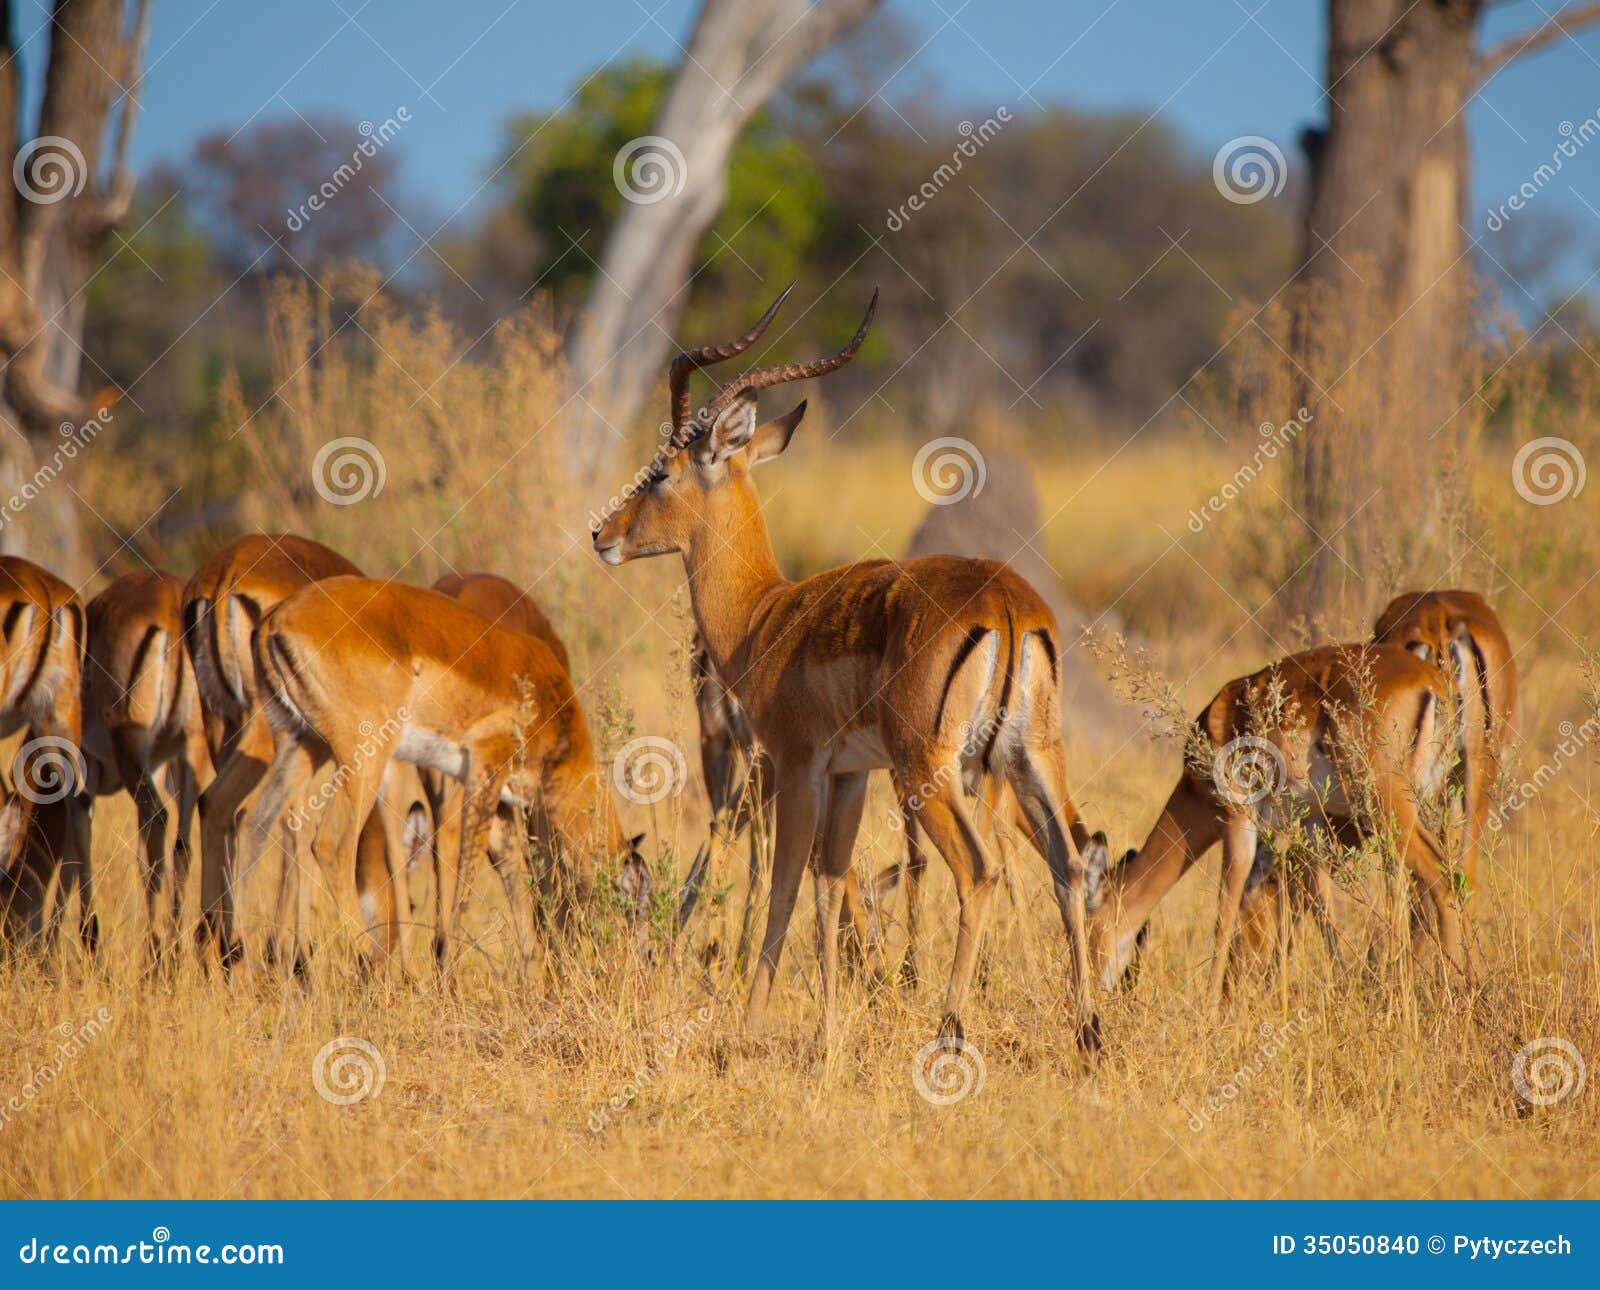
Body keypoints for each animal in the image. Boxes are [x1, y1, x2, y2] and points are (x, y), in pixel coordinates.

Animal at [181, 533, 408, 970]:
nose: (388, 953)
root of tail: (227, 572)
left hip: (222, 722)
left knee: (217, 806)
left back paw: (216, 950)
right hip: (266, 733)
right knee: (251, 815)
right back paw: (254, 951)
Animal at [236, 576, 640, 976]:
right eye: (632, 901)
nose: (636, 964)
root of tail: (274, 619)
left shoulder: (503, 801)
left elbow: (513, 876)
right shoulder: (486, 768)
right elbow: (467, 872)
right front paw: (449, 972)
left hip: (301, 743)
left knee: (253, 824)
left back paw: (237, 964)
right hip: (364, 756)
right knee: (330, 844)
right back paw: (372, 972)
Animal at [592, 286, 1103, 1048]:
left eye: (659, 473)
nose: (602, 534)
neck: (765, 615)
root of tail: (1008, 603)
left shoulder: (797, 764)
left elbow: (785, 885)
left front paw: (750, 1025)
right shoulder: (851, 774)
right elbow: (831, 883)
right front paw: (830, 1024)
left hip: (930, 770)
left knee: (980, 871)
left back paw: (950, 1025)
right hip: (1031, 755)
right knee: (1068, 864)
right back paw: (1090, 1029)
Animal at [1086, 642, 1464, 1012]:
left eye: (1087, 928)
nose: (1093, 991)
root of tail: (1433, 682)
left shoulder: (1238, 820)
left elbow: (1225, 912)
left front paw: (1209, 1009)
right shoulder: (1306, 824)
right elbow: (1314, 904)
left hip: (1389, 804)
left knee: (1440, 878)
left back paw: (1455, 996)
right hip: (1428, 802)